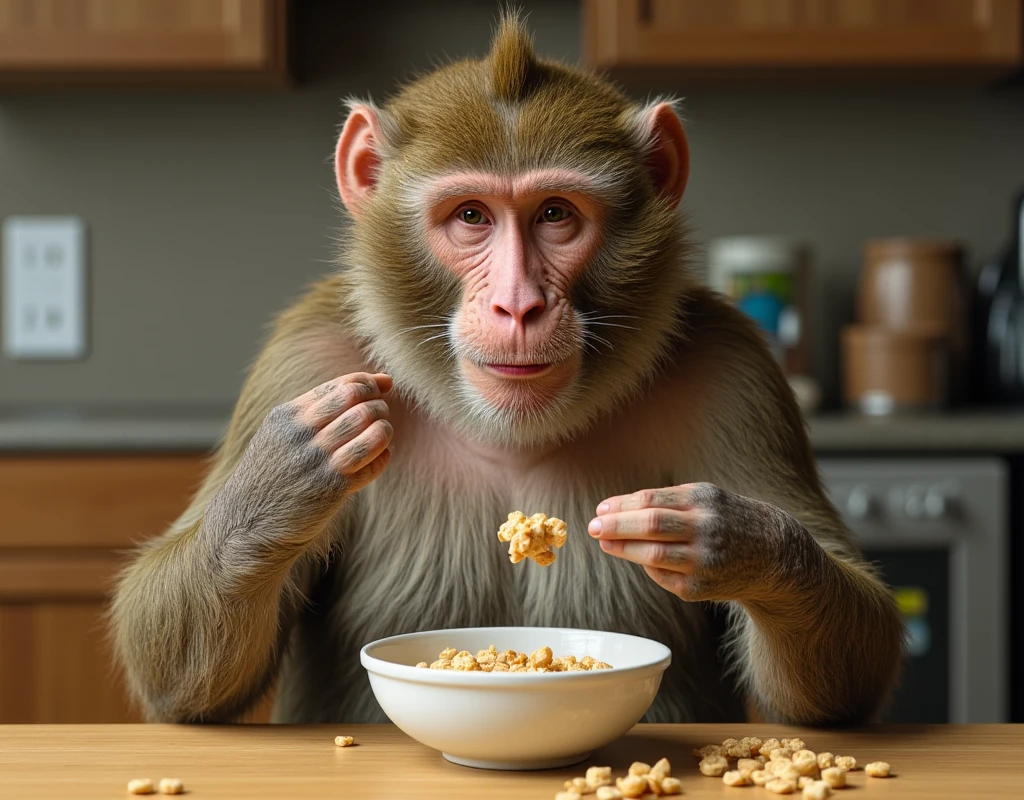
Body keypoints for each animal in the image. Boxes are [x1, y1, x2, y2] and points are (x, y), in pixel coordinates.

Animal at [109, 13, 903, 728]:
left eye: (554, 213)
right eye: (471, 216)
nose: (517, 304)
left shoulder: (737, 372)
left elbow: (840, 685)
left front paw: (733, 539)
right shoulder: (303, 357)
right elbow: (184, 693)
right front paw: (279, 483)